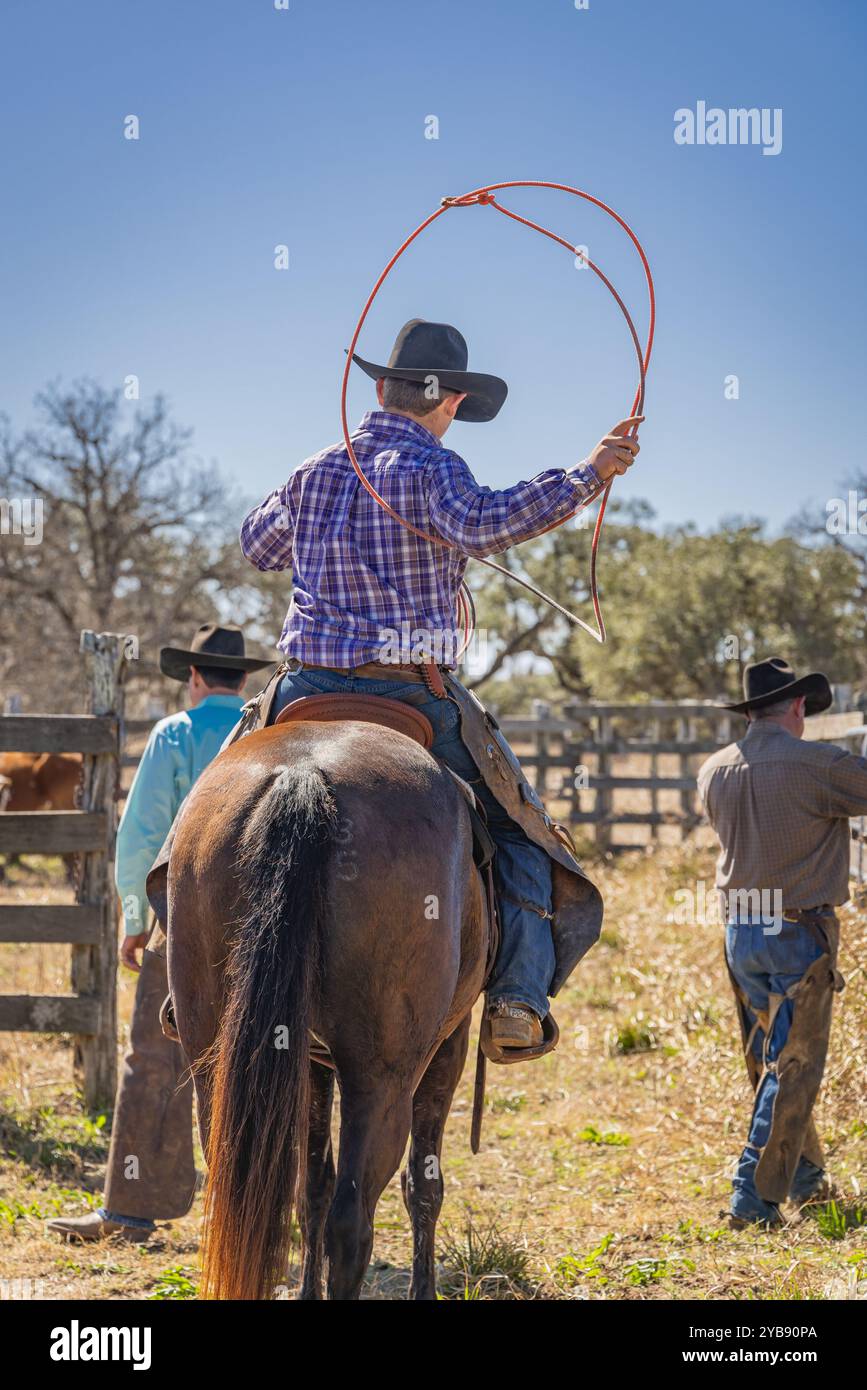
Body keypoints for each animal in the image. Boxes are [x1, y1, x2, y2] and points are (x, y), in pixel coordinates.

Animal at [166, 714, 490, 1300]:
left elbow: (310, 1186)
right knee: (352, 1222)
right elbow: (423, 1185)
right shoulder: (448, 1046)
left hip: (213, 1065)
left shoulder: (307, 1061)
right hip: (381, 1081)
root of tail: (303, 777)